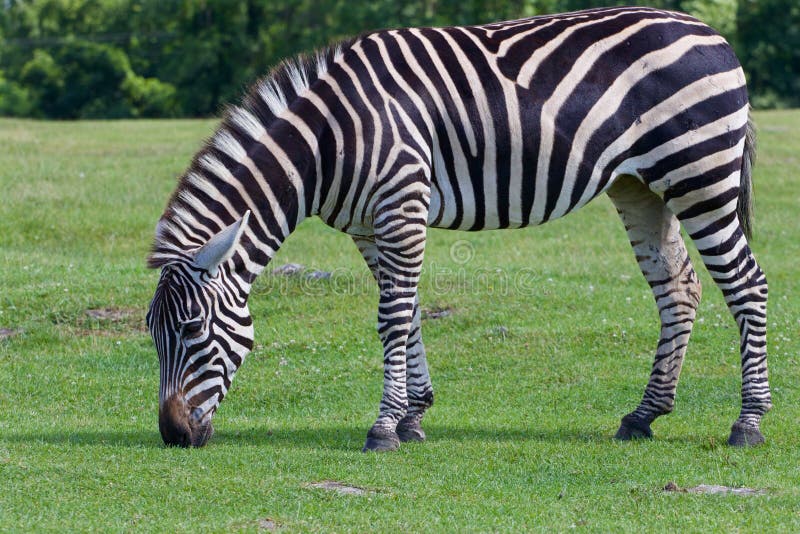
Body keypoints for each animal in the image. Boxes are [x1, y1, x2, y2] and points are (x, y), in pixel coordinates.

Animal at [146, 6, 771, 451]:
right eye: (152, 334)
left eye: (194, 330)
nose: (174, 436)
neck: (328, 142)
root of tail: (713, 33)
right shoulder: (370, 226)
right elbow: (408, 311)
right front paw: (413, 416)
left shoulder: (401, 203)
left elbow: (392, 316)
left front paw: (384, 429)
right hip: (640, 186)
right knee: (679, 287)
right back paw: (643, 416)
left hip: (700, 175)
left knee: (747, 285)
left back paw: (748, 423)